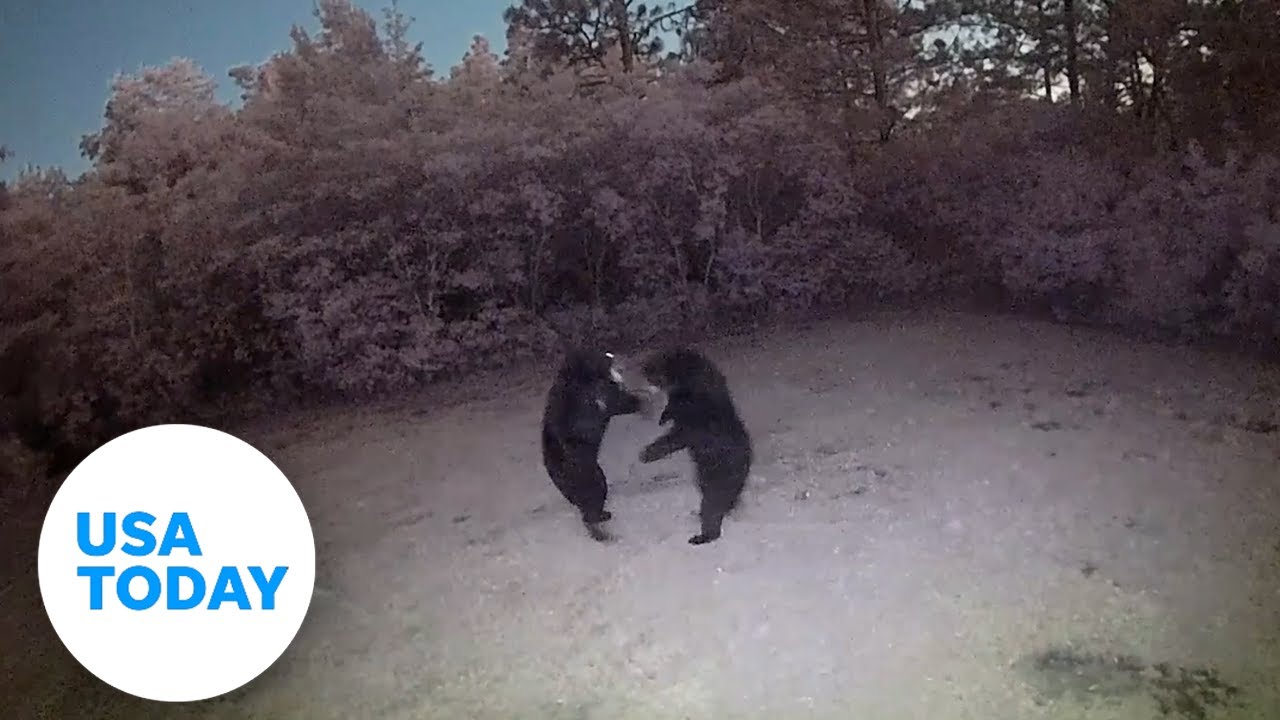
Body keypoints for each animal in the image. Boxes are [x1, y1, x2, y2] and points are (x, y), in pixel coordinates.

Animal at [541, 348, 646, 542]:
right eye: (609, 357)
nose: (624, 360)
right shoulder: (596, 396)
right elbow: (617, 402)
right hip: (590, 477)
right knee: (593, 500)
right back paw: (599, 528)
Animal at [637, 347, 753, 545]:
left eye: (660, 362)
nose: (643, 367)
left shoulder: (688, 427)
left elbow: (671, 439)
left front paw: (648, 453)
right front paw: (662, 418)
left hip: (717, 481)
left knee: (712, 511)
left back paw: (702, 537)